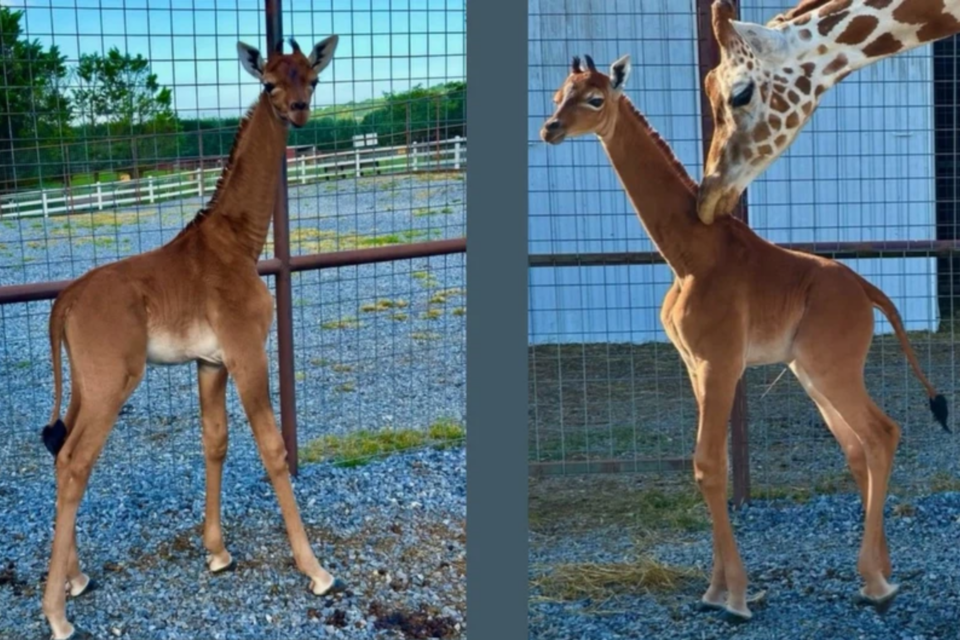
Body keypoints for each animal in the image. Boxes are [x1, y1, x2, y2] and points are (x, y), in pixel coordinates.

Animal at [37, 36, 341, 640]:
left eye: (312, 78)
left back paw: (75, 578)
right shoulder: (248, 352)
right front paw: (316, 569)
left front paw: (218, 552)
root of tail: (65, 301)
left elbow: (215, 441)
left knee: (60, 453)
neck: (239, 242)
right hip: (112, 382)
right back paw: (57, 613)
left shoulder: (211, 362)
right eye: (269, 82)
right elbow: (273, 448)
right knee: (75, 462)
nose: (298, 111)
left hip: (84, 383)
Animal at [541, 53, 949, 620]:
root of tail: (868, 290)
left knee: (881, 433)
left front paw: (733, 595)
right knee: (857, 445)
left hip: (832, 368)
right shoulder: (695, 366)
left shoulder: (721, 363)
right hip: (810, 373)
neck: (689, 255)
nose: (550, 129)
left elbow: (709, 465)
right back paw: (881, 573)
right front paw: (715, 589)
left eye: (595, 98)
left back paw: (876, 582)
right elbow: (714, 466)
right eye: (558, 94)